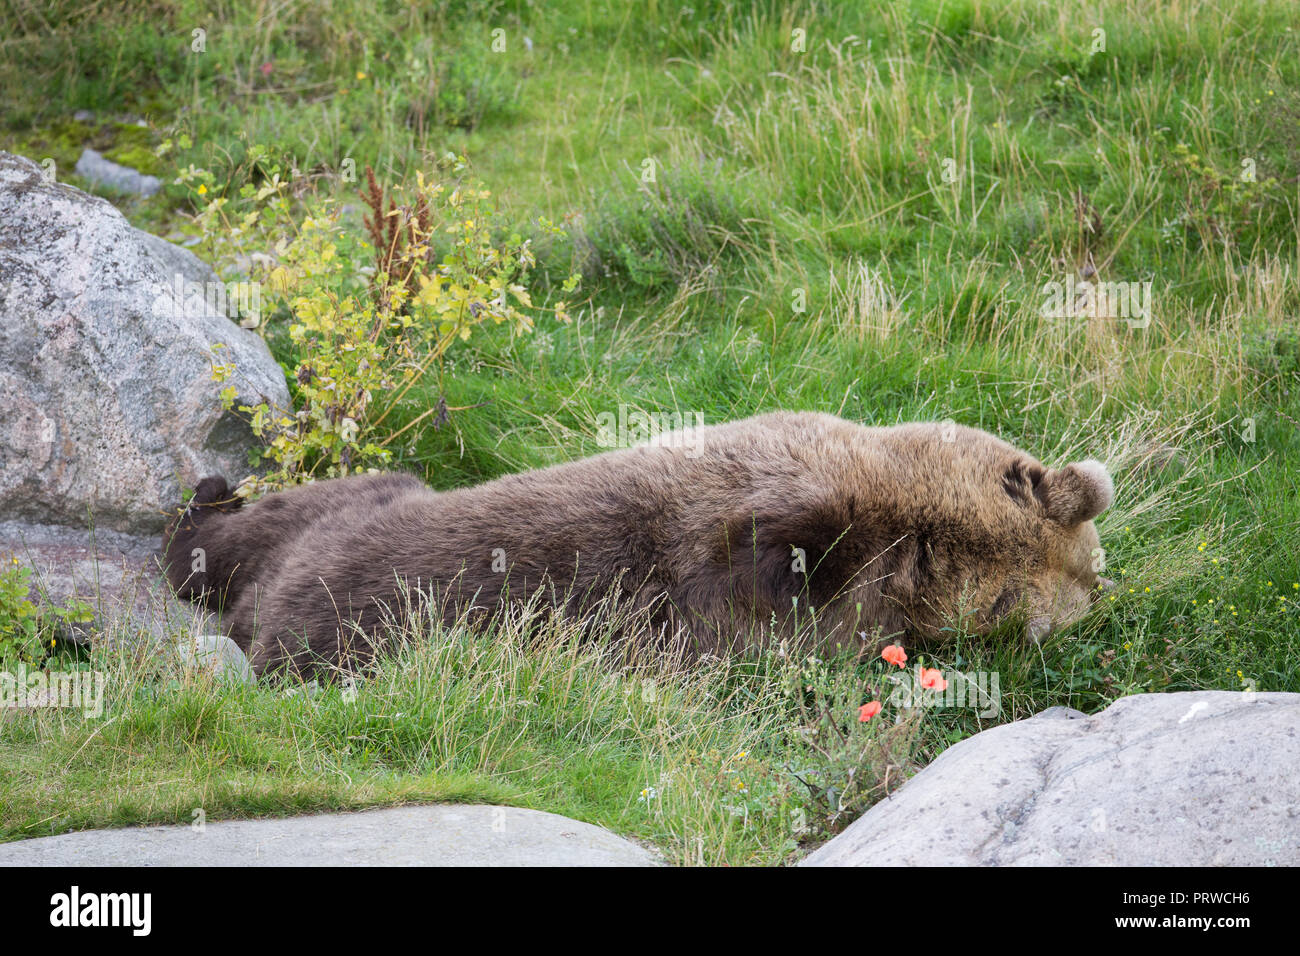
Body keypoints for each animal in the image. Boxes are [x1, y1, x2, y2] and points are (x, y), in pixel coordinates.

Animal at [162, 411, 1115, 679]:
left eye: (1085, 561)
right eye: (1011, 598)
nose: (1097, 590)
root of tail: (263, 606)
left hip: (362, 507)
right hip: (351, 533)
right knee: (230, 537)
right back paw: (203, 500)